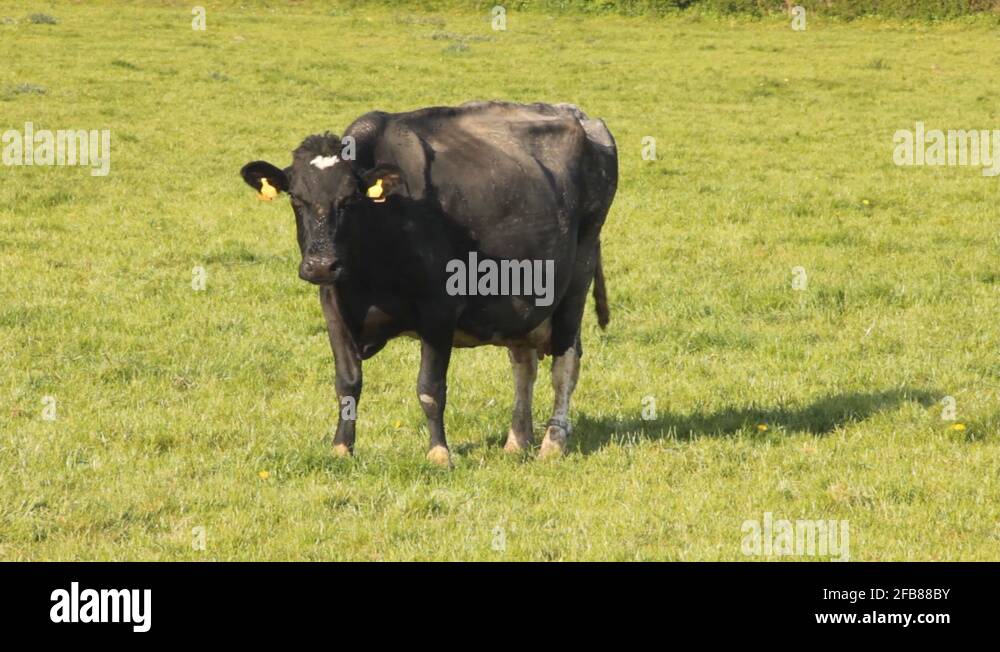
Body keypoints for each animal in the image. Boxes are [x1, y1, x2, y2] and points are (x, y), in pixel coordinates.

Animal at [240, 101, 617, 466]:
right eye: (296, 199)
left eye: (349, 200)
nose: (320, 265)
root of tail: (582, 118)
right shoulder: (333, 305)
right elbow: (347, 384)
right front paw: (341, 448)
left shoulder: (440, 310)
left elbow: (430, 388)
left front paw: (439, 453)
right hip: (525, 303)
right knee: (524, 364)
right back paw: (517, 440)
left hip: (577, 277)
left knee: (564, 365)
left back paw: (552, 443)